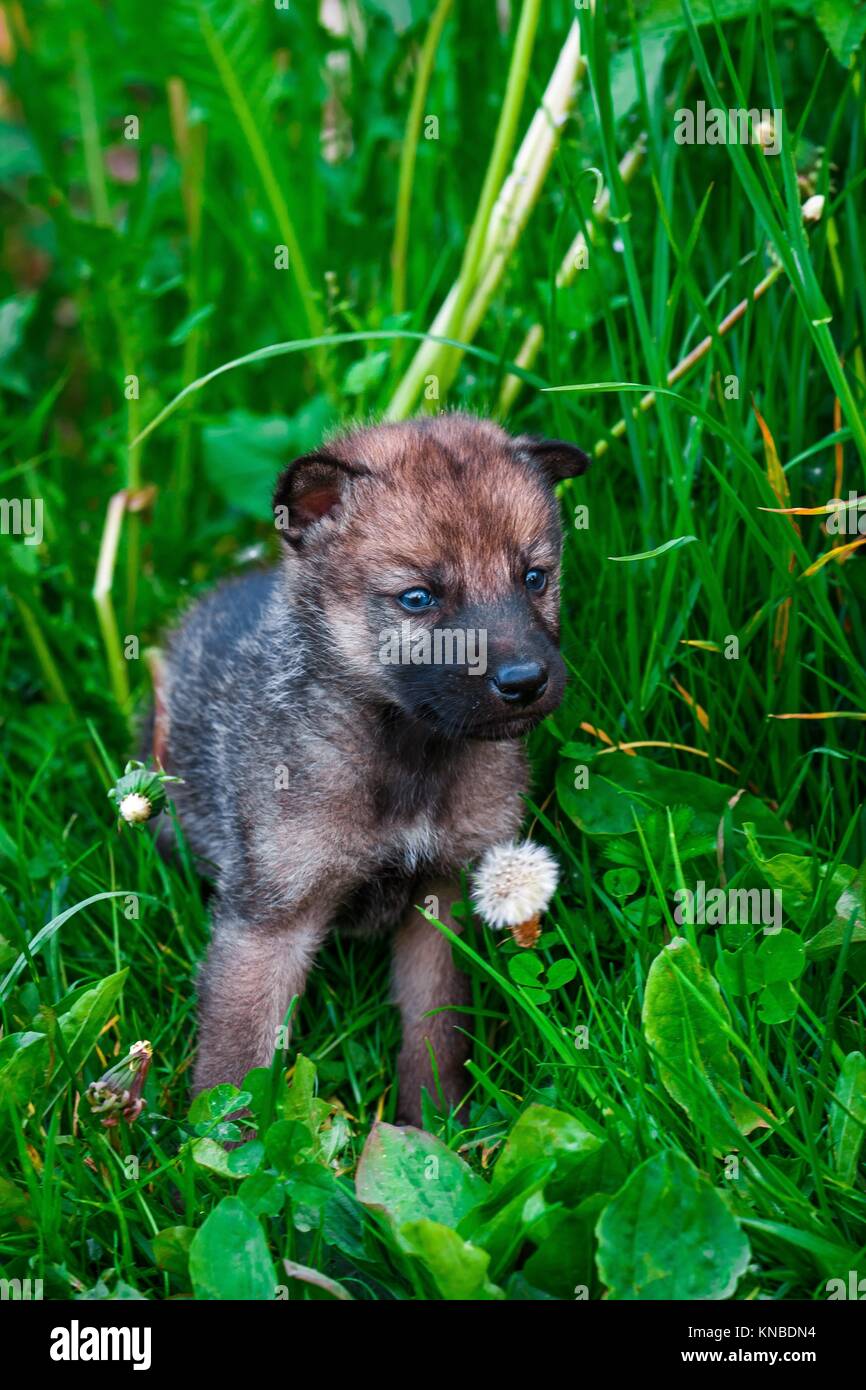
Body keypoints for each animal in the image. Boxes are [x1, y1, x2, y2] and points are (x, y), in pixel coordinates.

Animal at [156, 413, 588, 1123]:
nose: (525, 681)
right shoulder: (270, 920)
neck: (411, 759)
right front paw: (221, 1151)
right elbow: (234, 1064)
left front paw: (433, 1129)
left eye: (534, 578)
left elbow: (435, 1032)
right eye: (418, 597)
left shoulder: (441, 897)